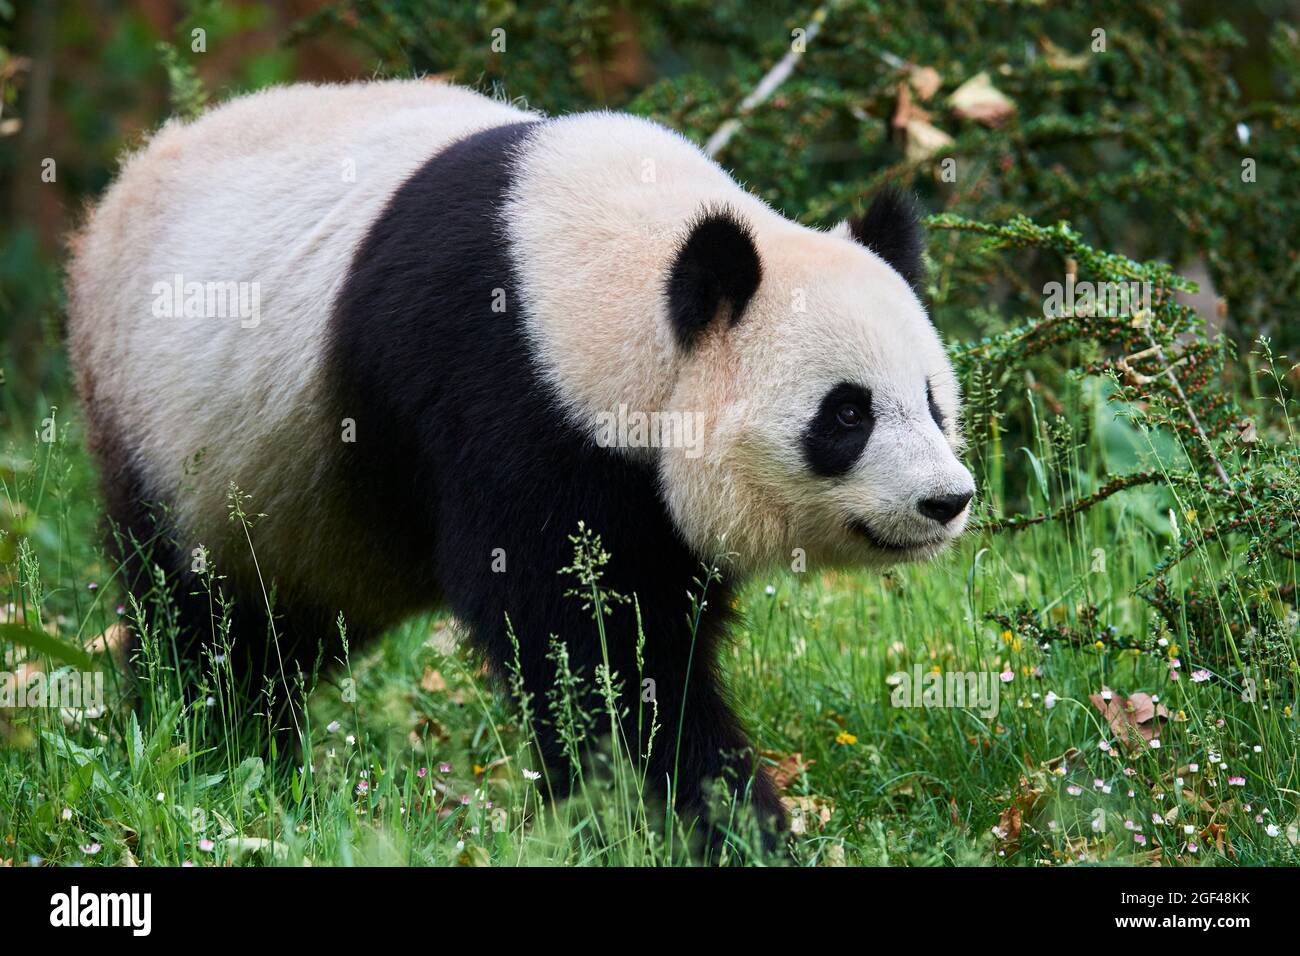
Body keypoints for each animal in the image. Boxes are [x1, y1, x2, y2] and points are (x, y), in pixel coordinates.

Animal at [67, 80, 975, 840]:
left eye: (934, 402)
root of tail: (120, 188)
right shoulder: (509, 389)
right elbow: (589, 642)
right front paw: (703, 820)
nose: (947, 500)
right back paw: (215, 746)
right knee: (201, 614)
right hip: (174, 427)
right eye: (847, 413)